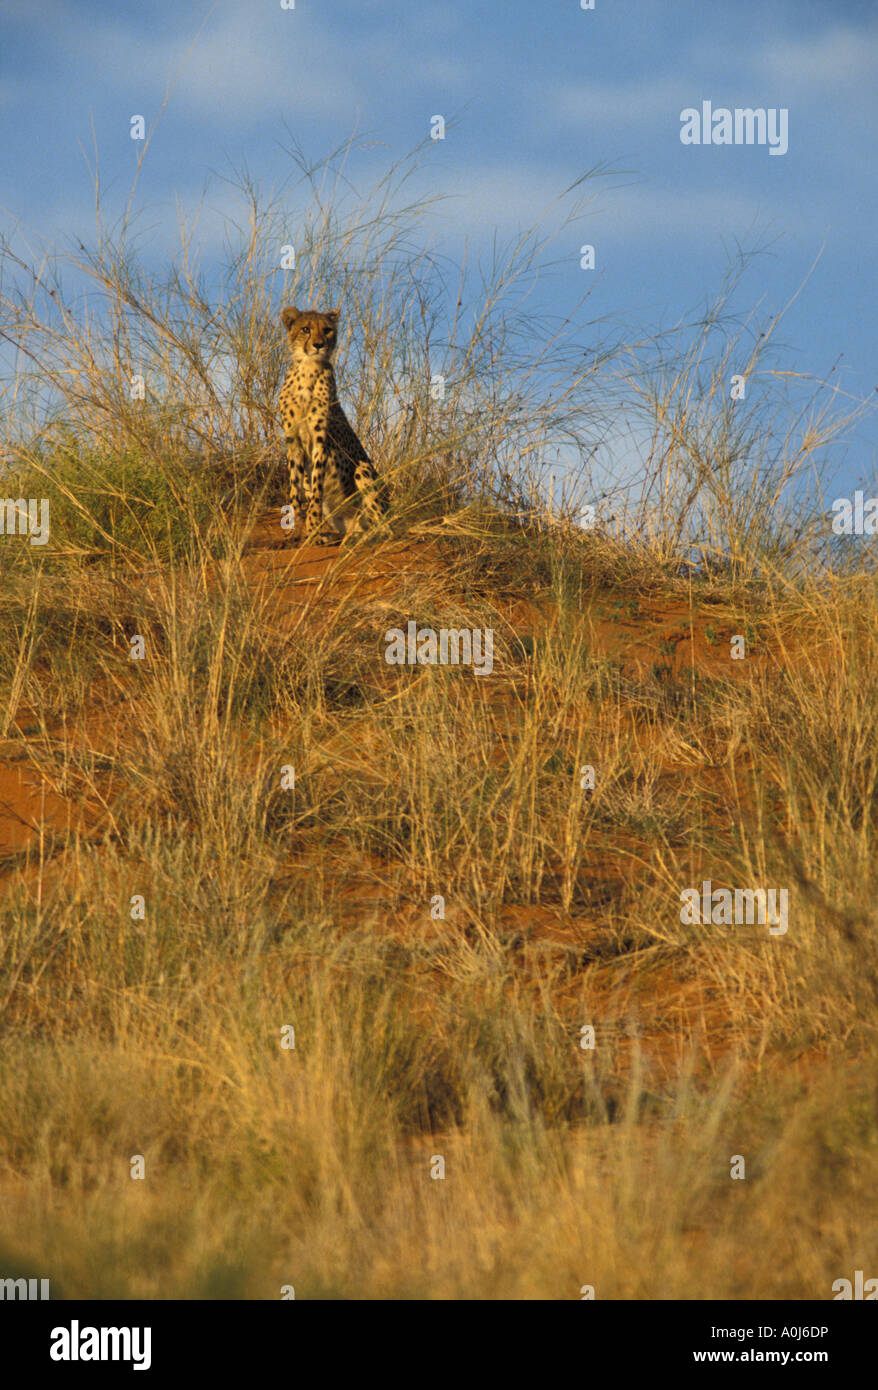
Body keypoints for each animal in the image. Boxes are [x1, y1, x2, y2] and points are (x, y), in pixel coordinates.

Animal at [278, 306, 387, 544]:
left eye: (327, 330)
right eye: (306, 329)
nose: (319, 344)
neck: (308, 369)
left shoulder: (321, 443)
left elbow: (316, 492)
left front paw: (312, 531)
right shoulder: (294, 442)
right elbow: (295, 489)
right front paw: (292, 529)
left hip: (363, 469)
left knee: (386, 528)